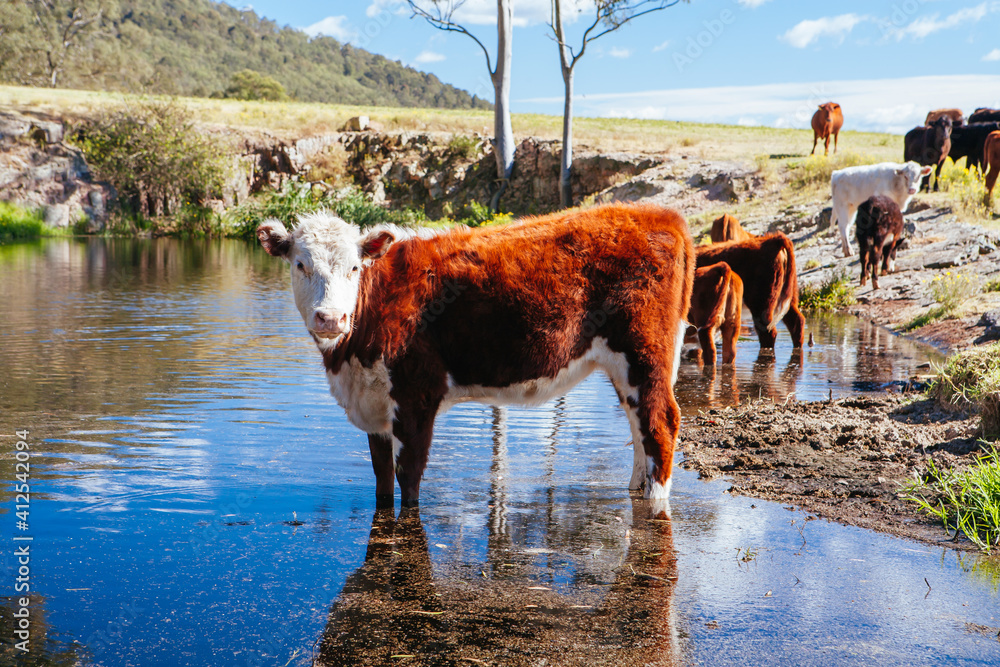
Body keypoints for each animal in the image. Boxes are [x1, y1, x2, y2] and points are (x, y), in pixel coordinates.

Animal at [256, 203, 695, 514]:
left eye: (353, 267)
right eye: (300, 264)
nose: (331, 318)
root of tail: (661, 214)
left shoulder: (417, 394)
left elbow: (408, 476)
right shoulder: (374, 402)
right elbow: (381, 478)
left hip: (645, 352)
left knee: (660, 423)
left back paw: (655, 501)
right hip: (627, 367)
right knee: (639, 425)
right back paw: (636, 490)